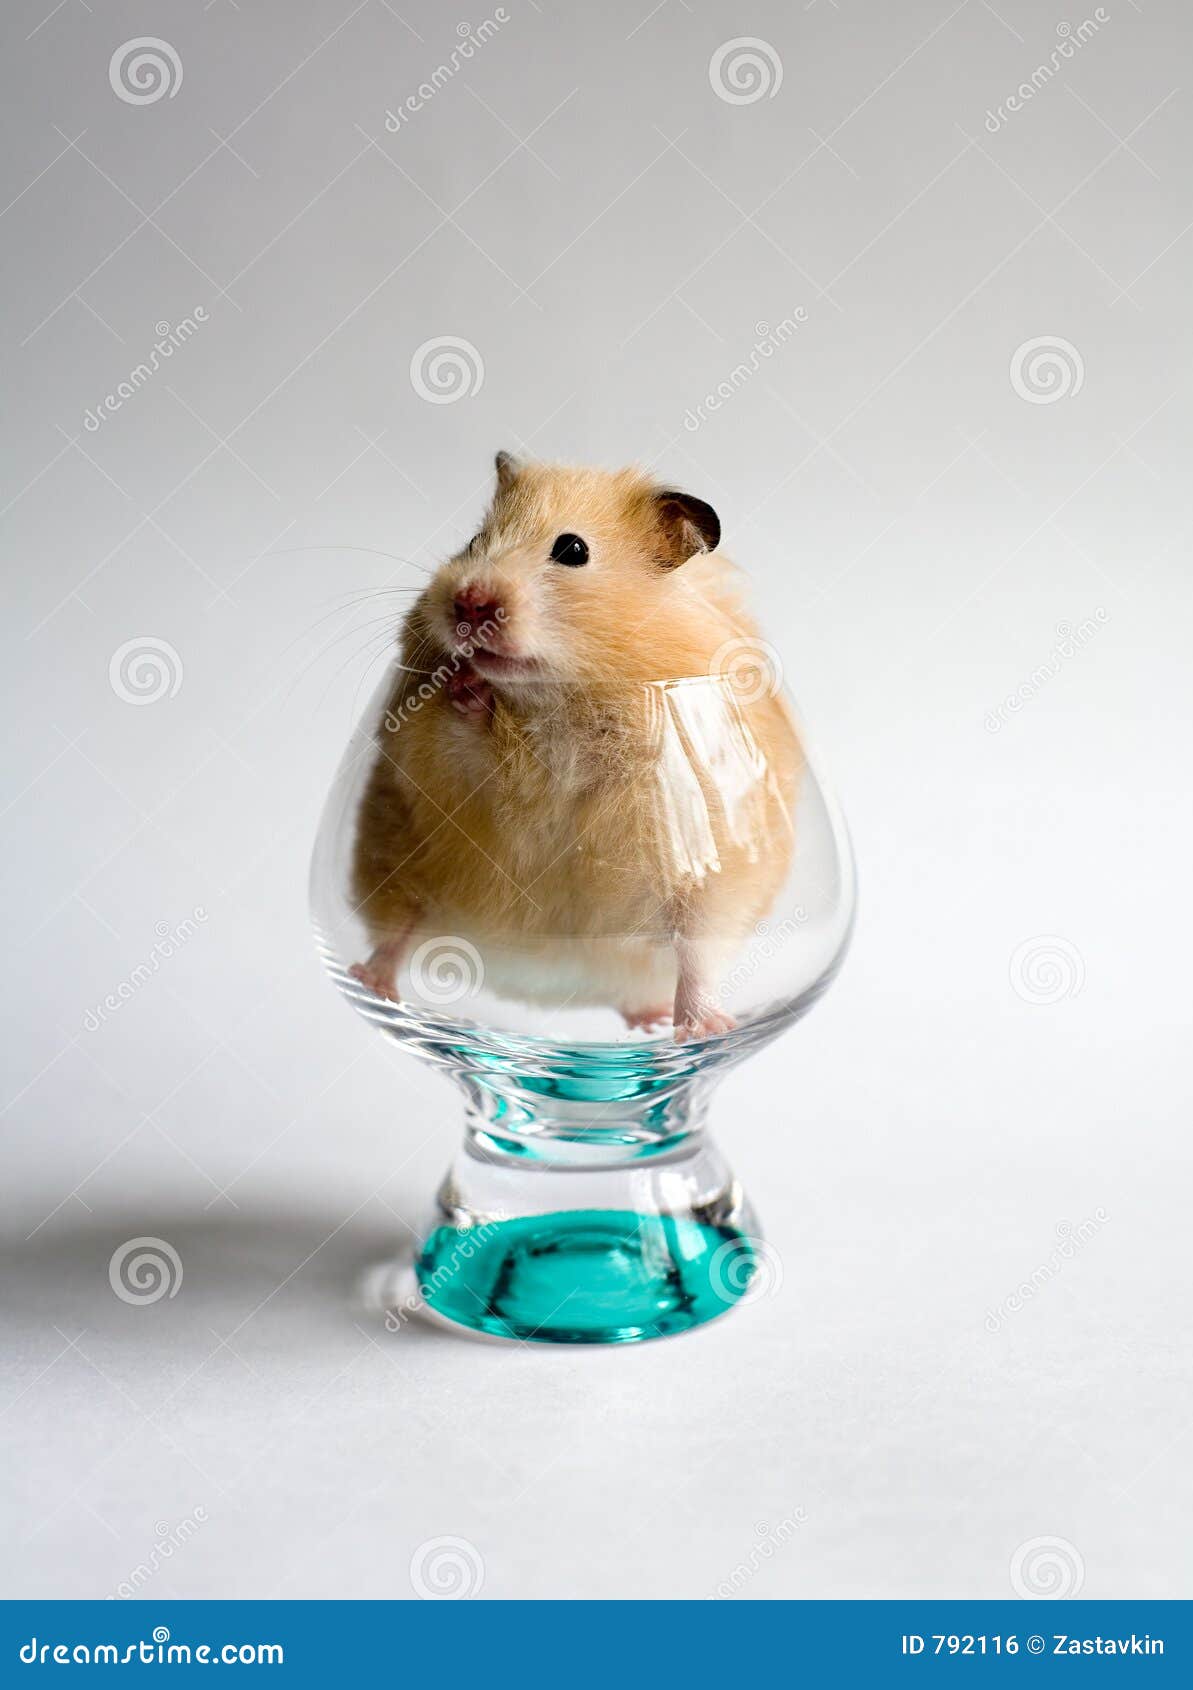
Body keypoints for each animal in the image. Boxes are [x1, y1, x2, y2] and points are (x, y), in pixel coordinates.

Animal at [349, 452, 799, 1041]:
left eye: (572, 550)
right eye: (473, 540)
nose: (468, 603)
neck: (556, 696)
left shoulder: (711, 853)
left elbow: (697, 951)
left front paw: (703, 1026)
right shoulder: (430, 759)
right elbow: (463, 741)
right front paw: (466, 684)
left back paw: (675, 1024)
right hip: (398, 860)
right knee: (399, 932)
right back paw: (372, 980)